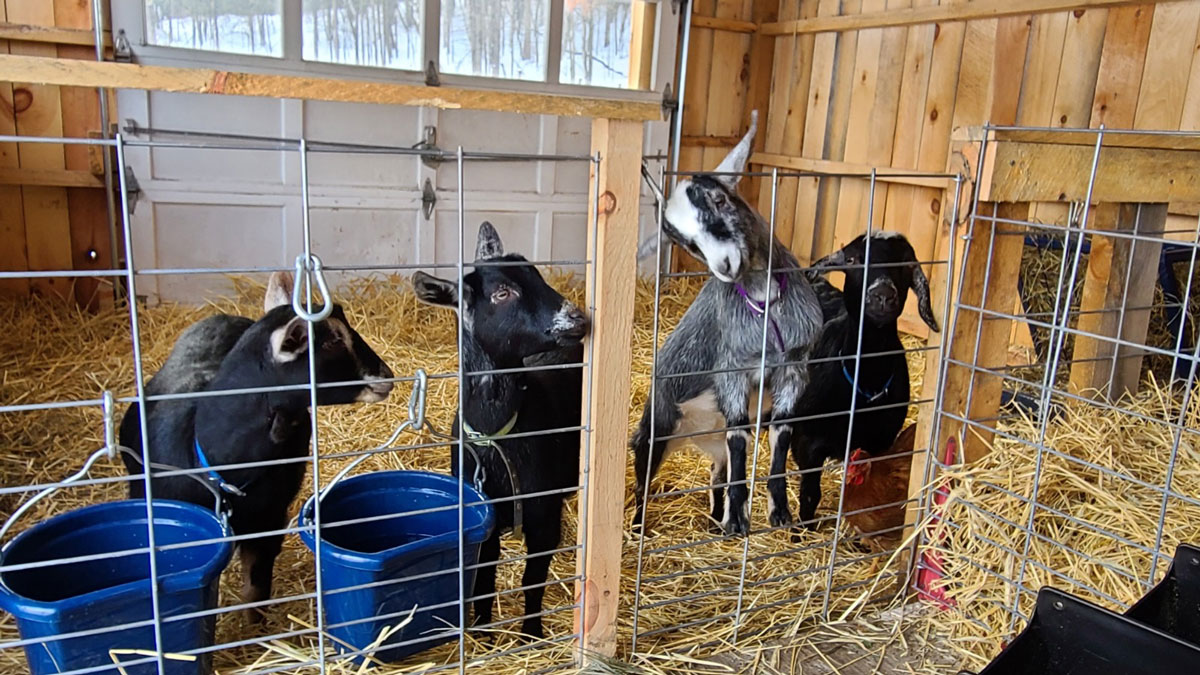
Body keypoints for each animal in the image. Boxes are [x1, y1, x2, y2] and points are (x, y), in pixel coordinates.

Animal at [412, 222, 590, 639]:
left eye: (537, 275)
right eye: (502, 293)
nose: (578, 320)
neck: (497, 437)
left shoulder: (542, 513)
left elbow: (532, 579)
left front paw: (530, 633)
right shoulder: (483, 517)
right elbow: (483, 577)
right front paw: (482, 632)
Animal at [632, 111, 825, 536]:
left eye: (720, 198)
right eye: (687, 243)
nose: (725, 265)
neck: (765, 308)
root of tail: (697, 435)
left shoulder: (794, 368)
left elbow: (781, 431)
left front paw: (778, 513)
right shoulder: (731, 370)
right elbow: (740, 436)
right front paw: (740, 521)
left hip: (710, 441)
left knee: (717, 472)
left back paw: (716, 519)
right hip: (659, 423)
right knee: (643, 475)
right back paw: (637, 529)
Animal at [780, 231, 940, 529]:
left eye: (905, 264)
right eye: (853, 260)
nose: (882, 295)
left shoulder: (880, 442)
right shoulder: (808, 442)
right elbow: (810, 495)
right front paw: (802, 532)